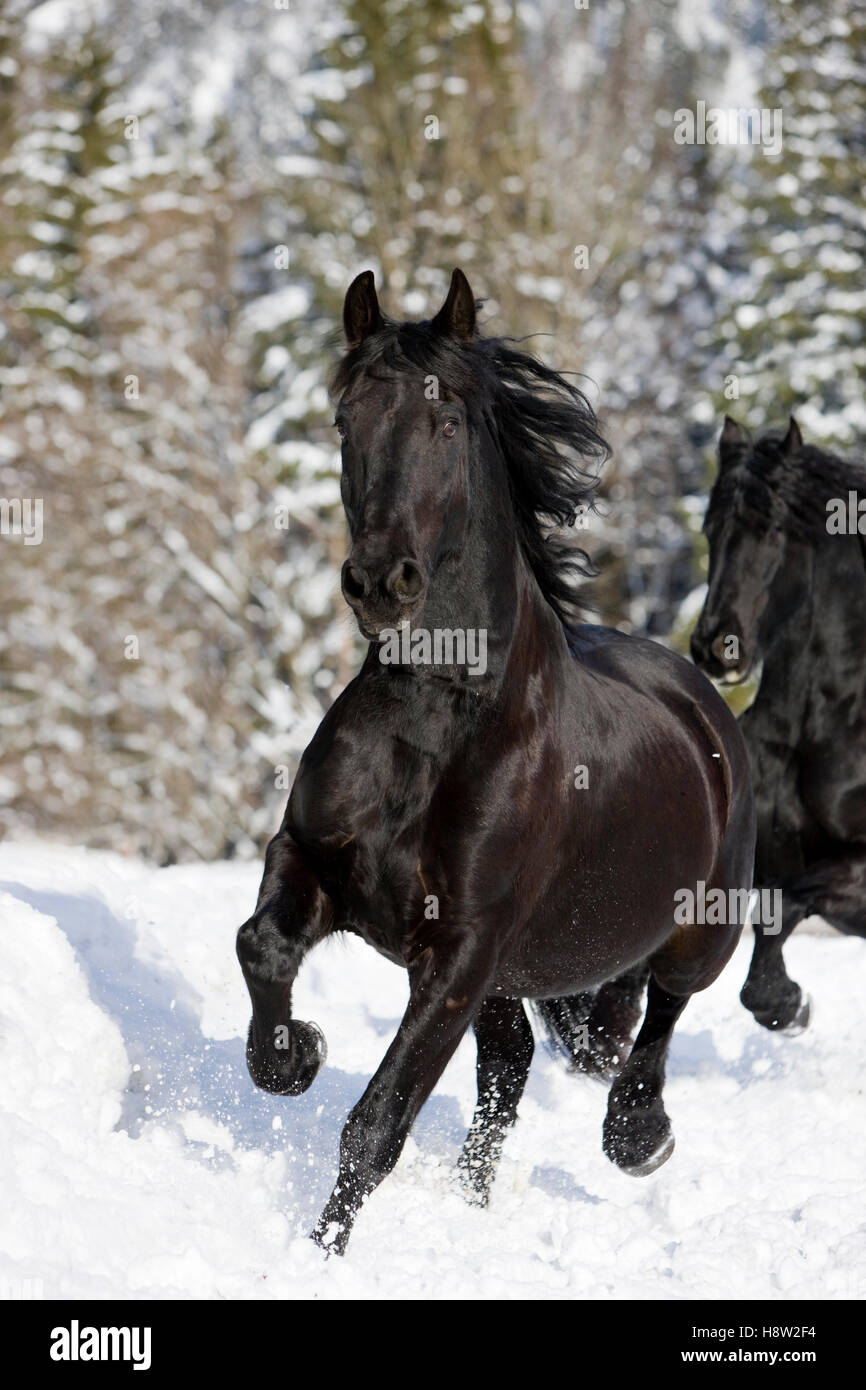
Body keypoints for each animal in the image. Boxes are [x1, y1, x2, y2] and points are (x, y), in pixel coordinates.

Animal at [236, 269, 756, 1255]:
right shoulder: (313, 860)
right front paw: (295, 1054)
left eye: (445, 421)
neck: (436, 724)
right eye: (344, 418)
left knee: (661, 1011)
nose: (381, 581)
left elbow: (376, 1125)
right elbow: (263, 946)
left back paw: (640, 1136)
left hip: (702, 928)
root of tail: (703, 703)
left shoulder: (465, 950)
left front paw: (321, 1256)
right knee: (511, 1069)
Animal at [690, 414, 866, 1032]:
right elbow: (768, 926)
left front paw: (795, 1004)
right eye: (710, 530)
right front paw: (788, 1004)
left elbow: (792, 899)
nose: (716, 647)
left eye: (770, 531)